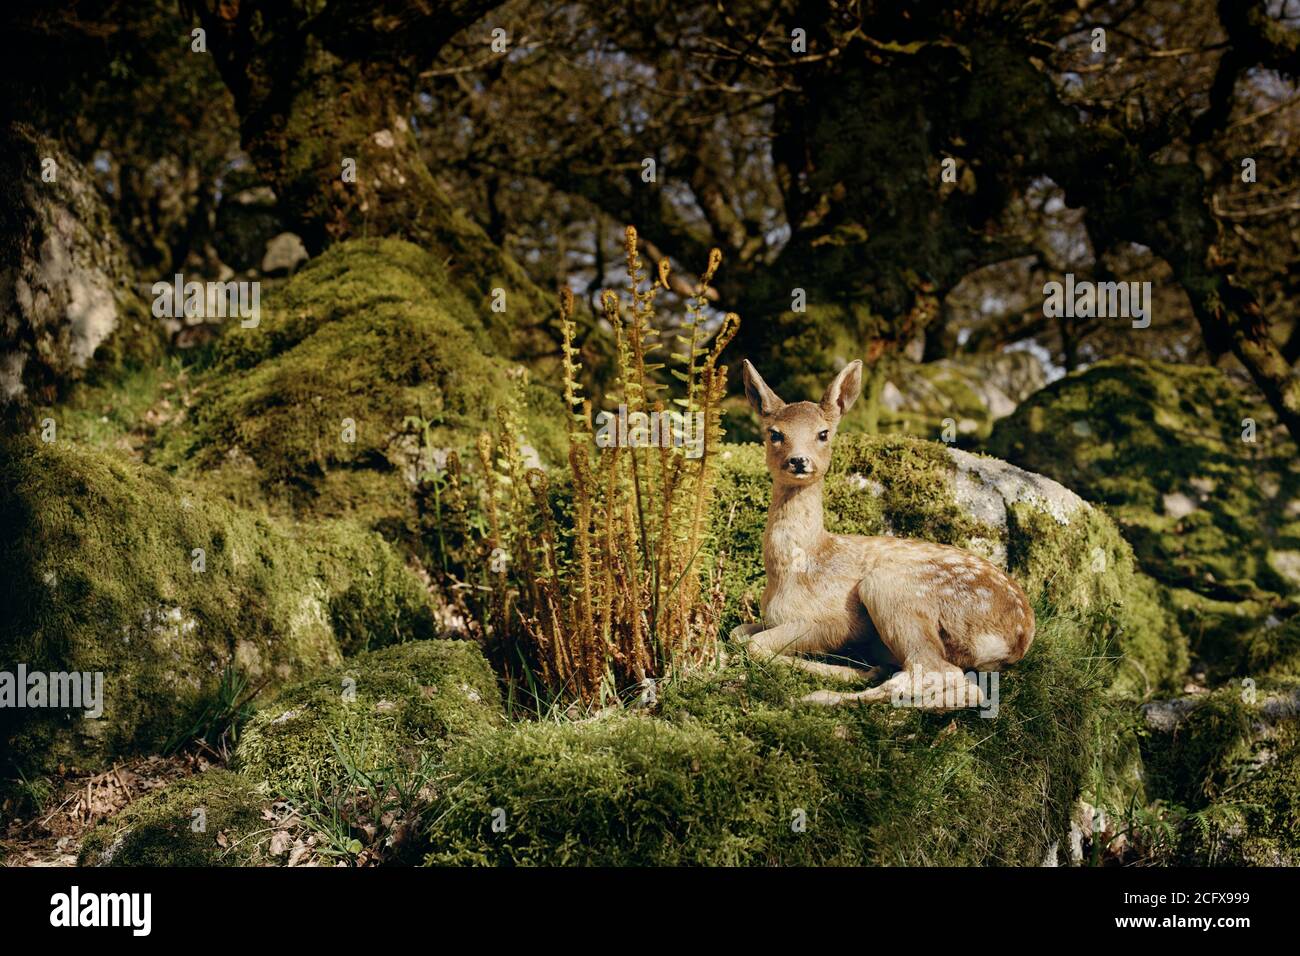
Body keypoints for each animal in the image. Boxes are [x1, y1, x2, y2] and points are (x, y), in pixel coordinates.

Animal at [730, 359, 1036, 708]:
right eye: (775, 433)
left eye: (823, 433)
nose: (798, 460)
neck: (799, 566)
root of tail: (1019, 637)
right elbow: (738, 634)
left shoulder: (831, 621)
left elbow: (755, 645)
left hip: (892, 587)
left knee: (940, 673)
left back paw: (824, 693)